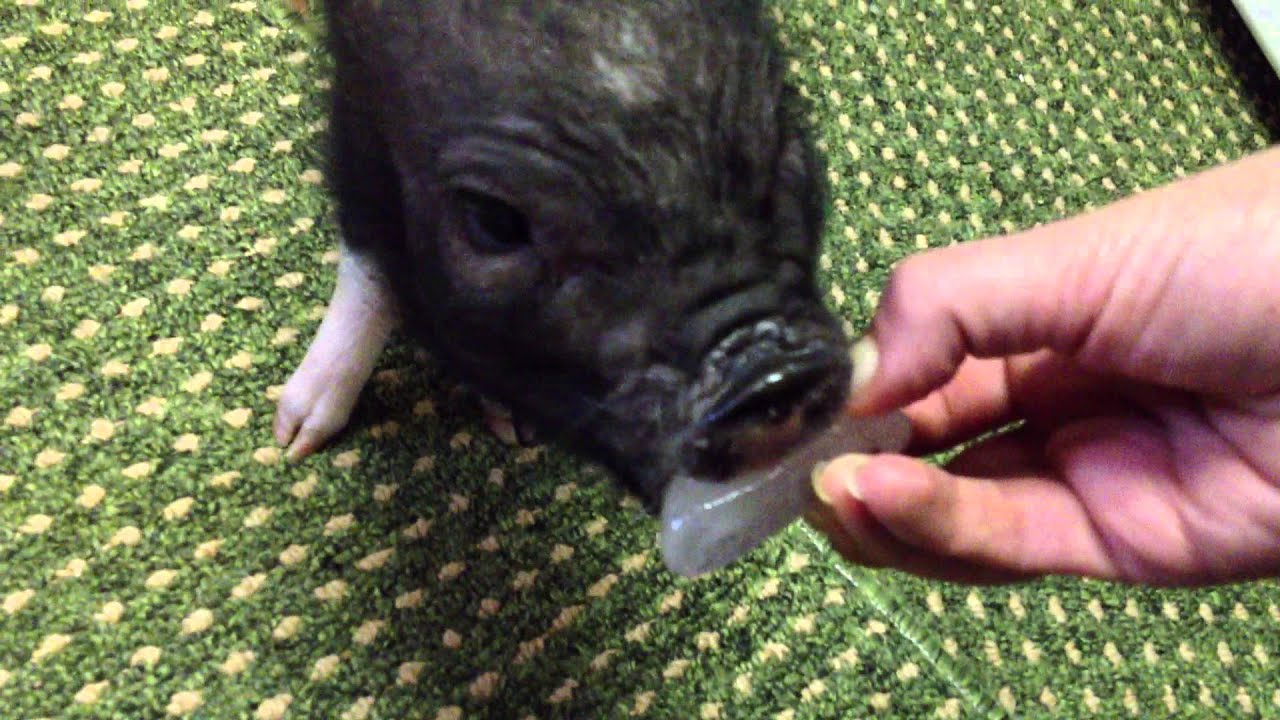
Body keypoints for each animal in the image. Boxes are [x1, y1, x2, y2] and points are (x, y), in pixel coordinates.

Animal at [274, 0, 858, 518]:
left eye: (784, 145)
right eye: (494, 220)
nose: (771, 371)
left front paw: (514, 429)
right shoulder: (357, 117)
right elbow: (368, 260)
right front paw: (294, 439)